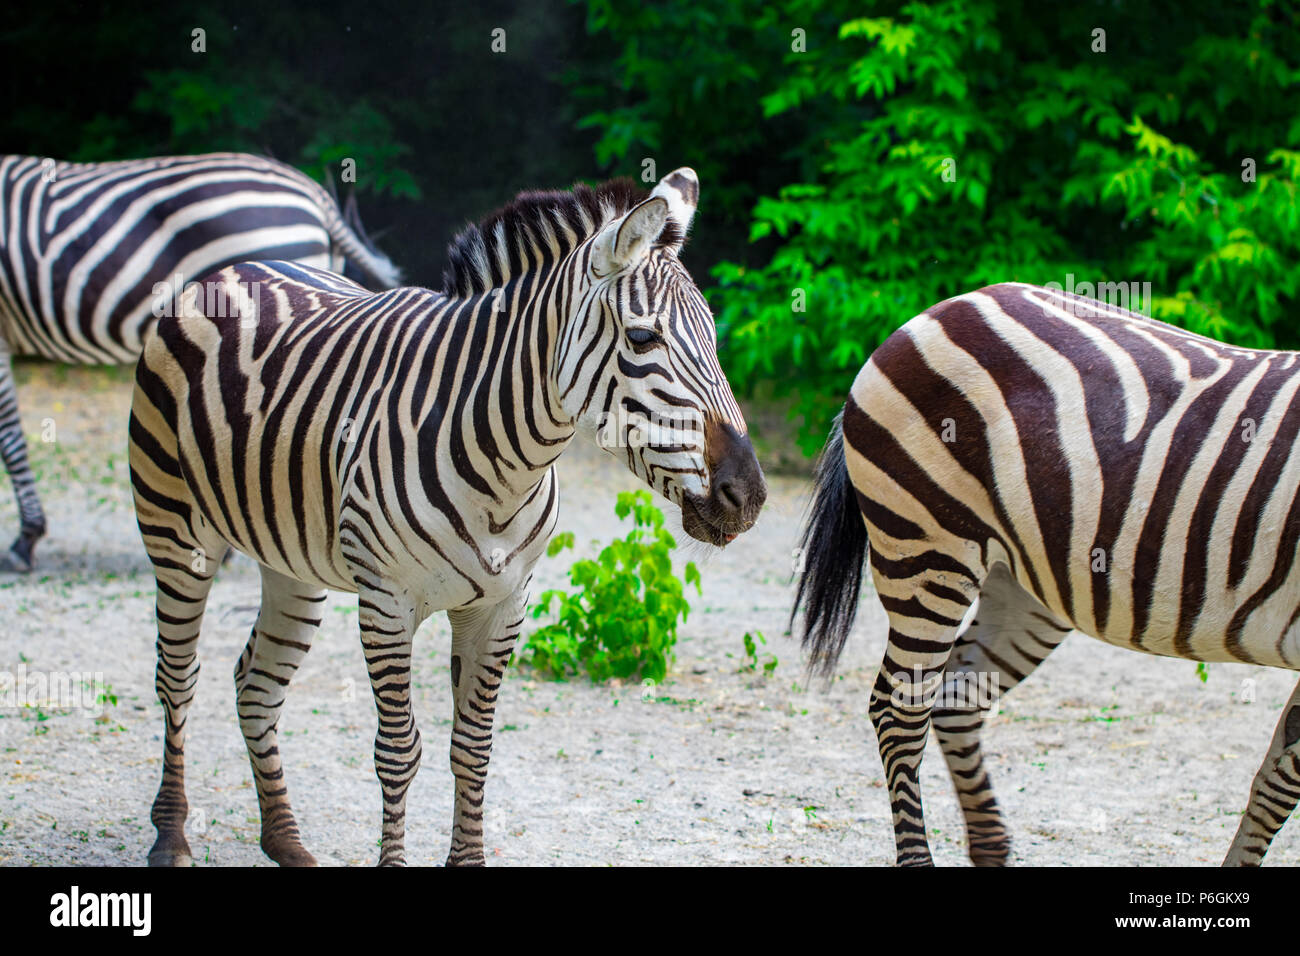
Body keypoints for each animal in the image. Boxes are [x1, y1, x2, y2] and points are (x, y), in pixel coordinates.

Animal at [128, 168, 767, 866]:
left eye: (713, 339)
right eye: (643, 338)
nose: (750, 495)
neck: (504, 468)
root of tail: (235, 269)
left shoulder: (503, 605)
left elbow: (474, 749)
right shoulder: (387, 603)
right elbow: (398, 752)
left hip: (291, 562)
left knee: (256, 683)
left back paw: (286, 841)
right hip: (175, 531)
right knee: (176, 678)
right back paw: (171, 834)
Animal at [794, 281, 1300, 866]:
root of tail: (934, 311)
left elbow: (1275, 781)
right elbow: (1285, 780)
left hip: (1022, 583)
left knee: (959, 695)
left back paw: (991, 849)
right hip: (928, 547)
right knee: (900, 711)